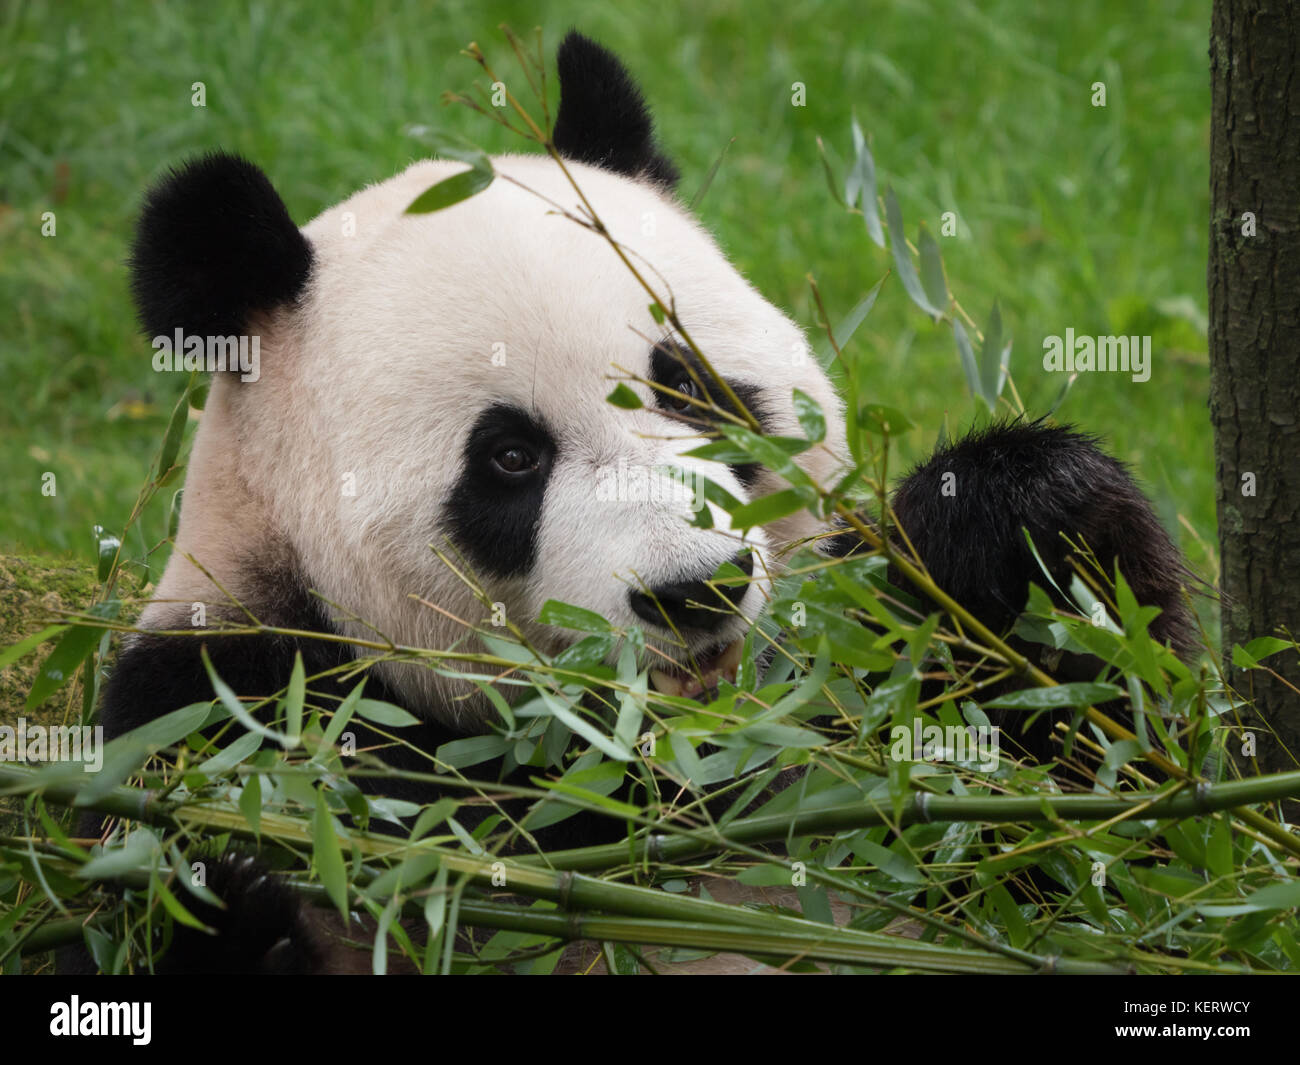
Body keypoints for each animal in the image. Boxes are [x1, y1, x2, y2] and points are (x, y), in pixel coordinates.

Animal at [80, 32, 1192, 973]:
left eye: (687, 384)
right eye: (511, 458)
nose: (696, 589)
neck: (672, 758)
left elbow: (1108, 824)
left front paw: (1015, 521)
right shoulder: (233, 706)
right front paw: (220, 896)